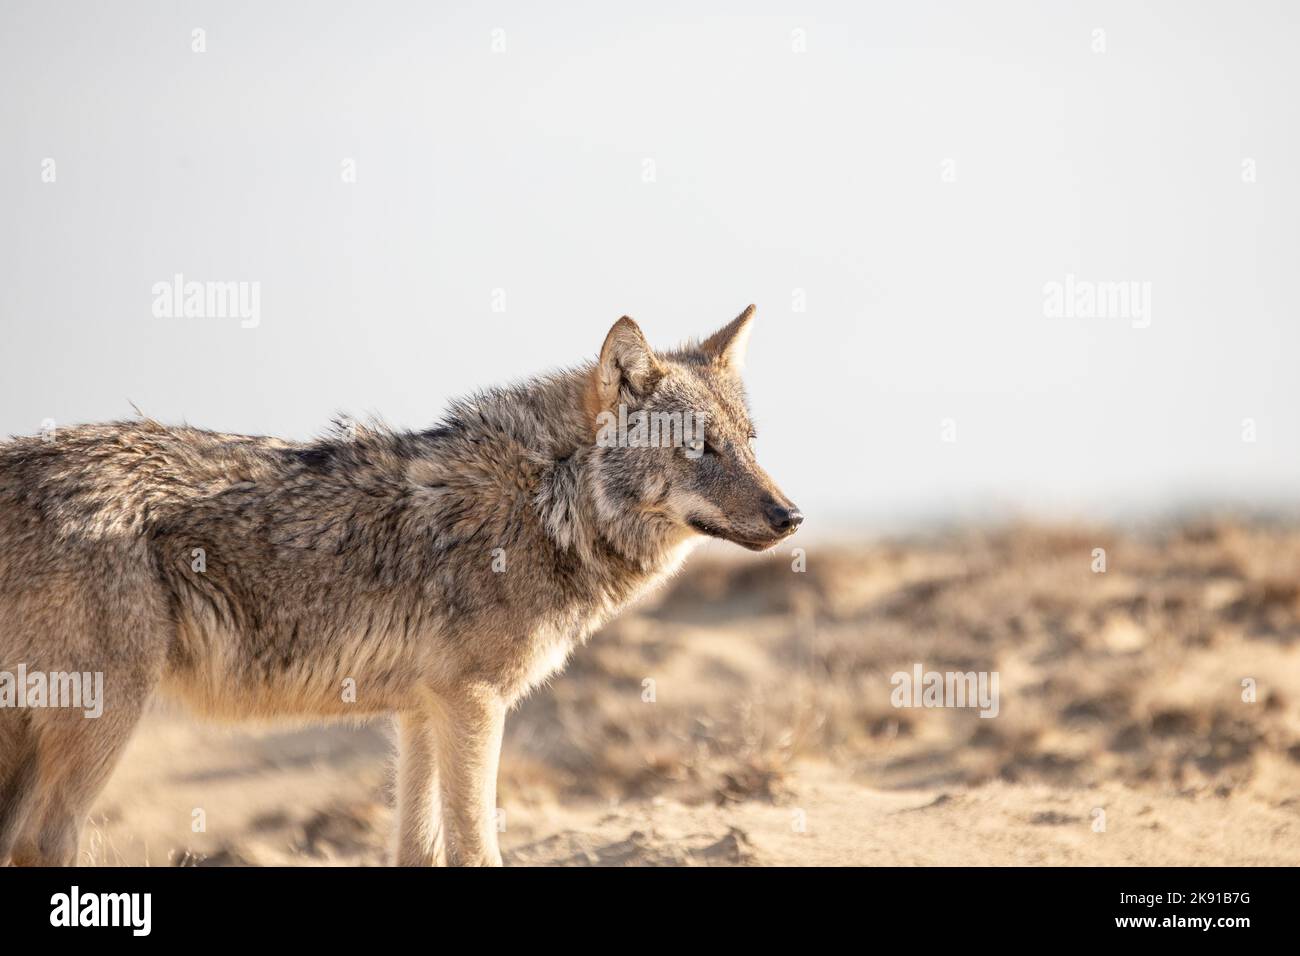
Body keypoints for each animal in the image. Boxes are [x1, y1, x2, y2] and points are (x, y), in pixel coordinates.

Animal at [0, 306, 801, 866]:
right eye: (699, 448)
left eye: (750, 443)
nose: (790, 517)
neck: (549, 503)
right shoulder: (473, 705)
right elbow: (476, 850)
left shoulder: (421, 712)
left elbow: (418, 848)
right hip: (106, 717)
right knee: (45, 840)